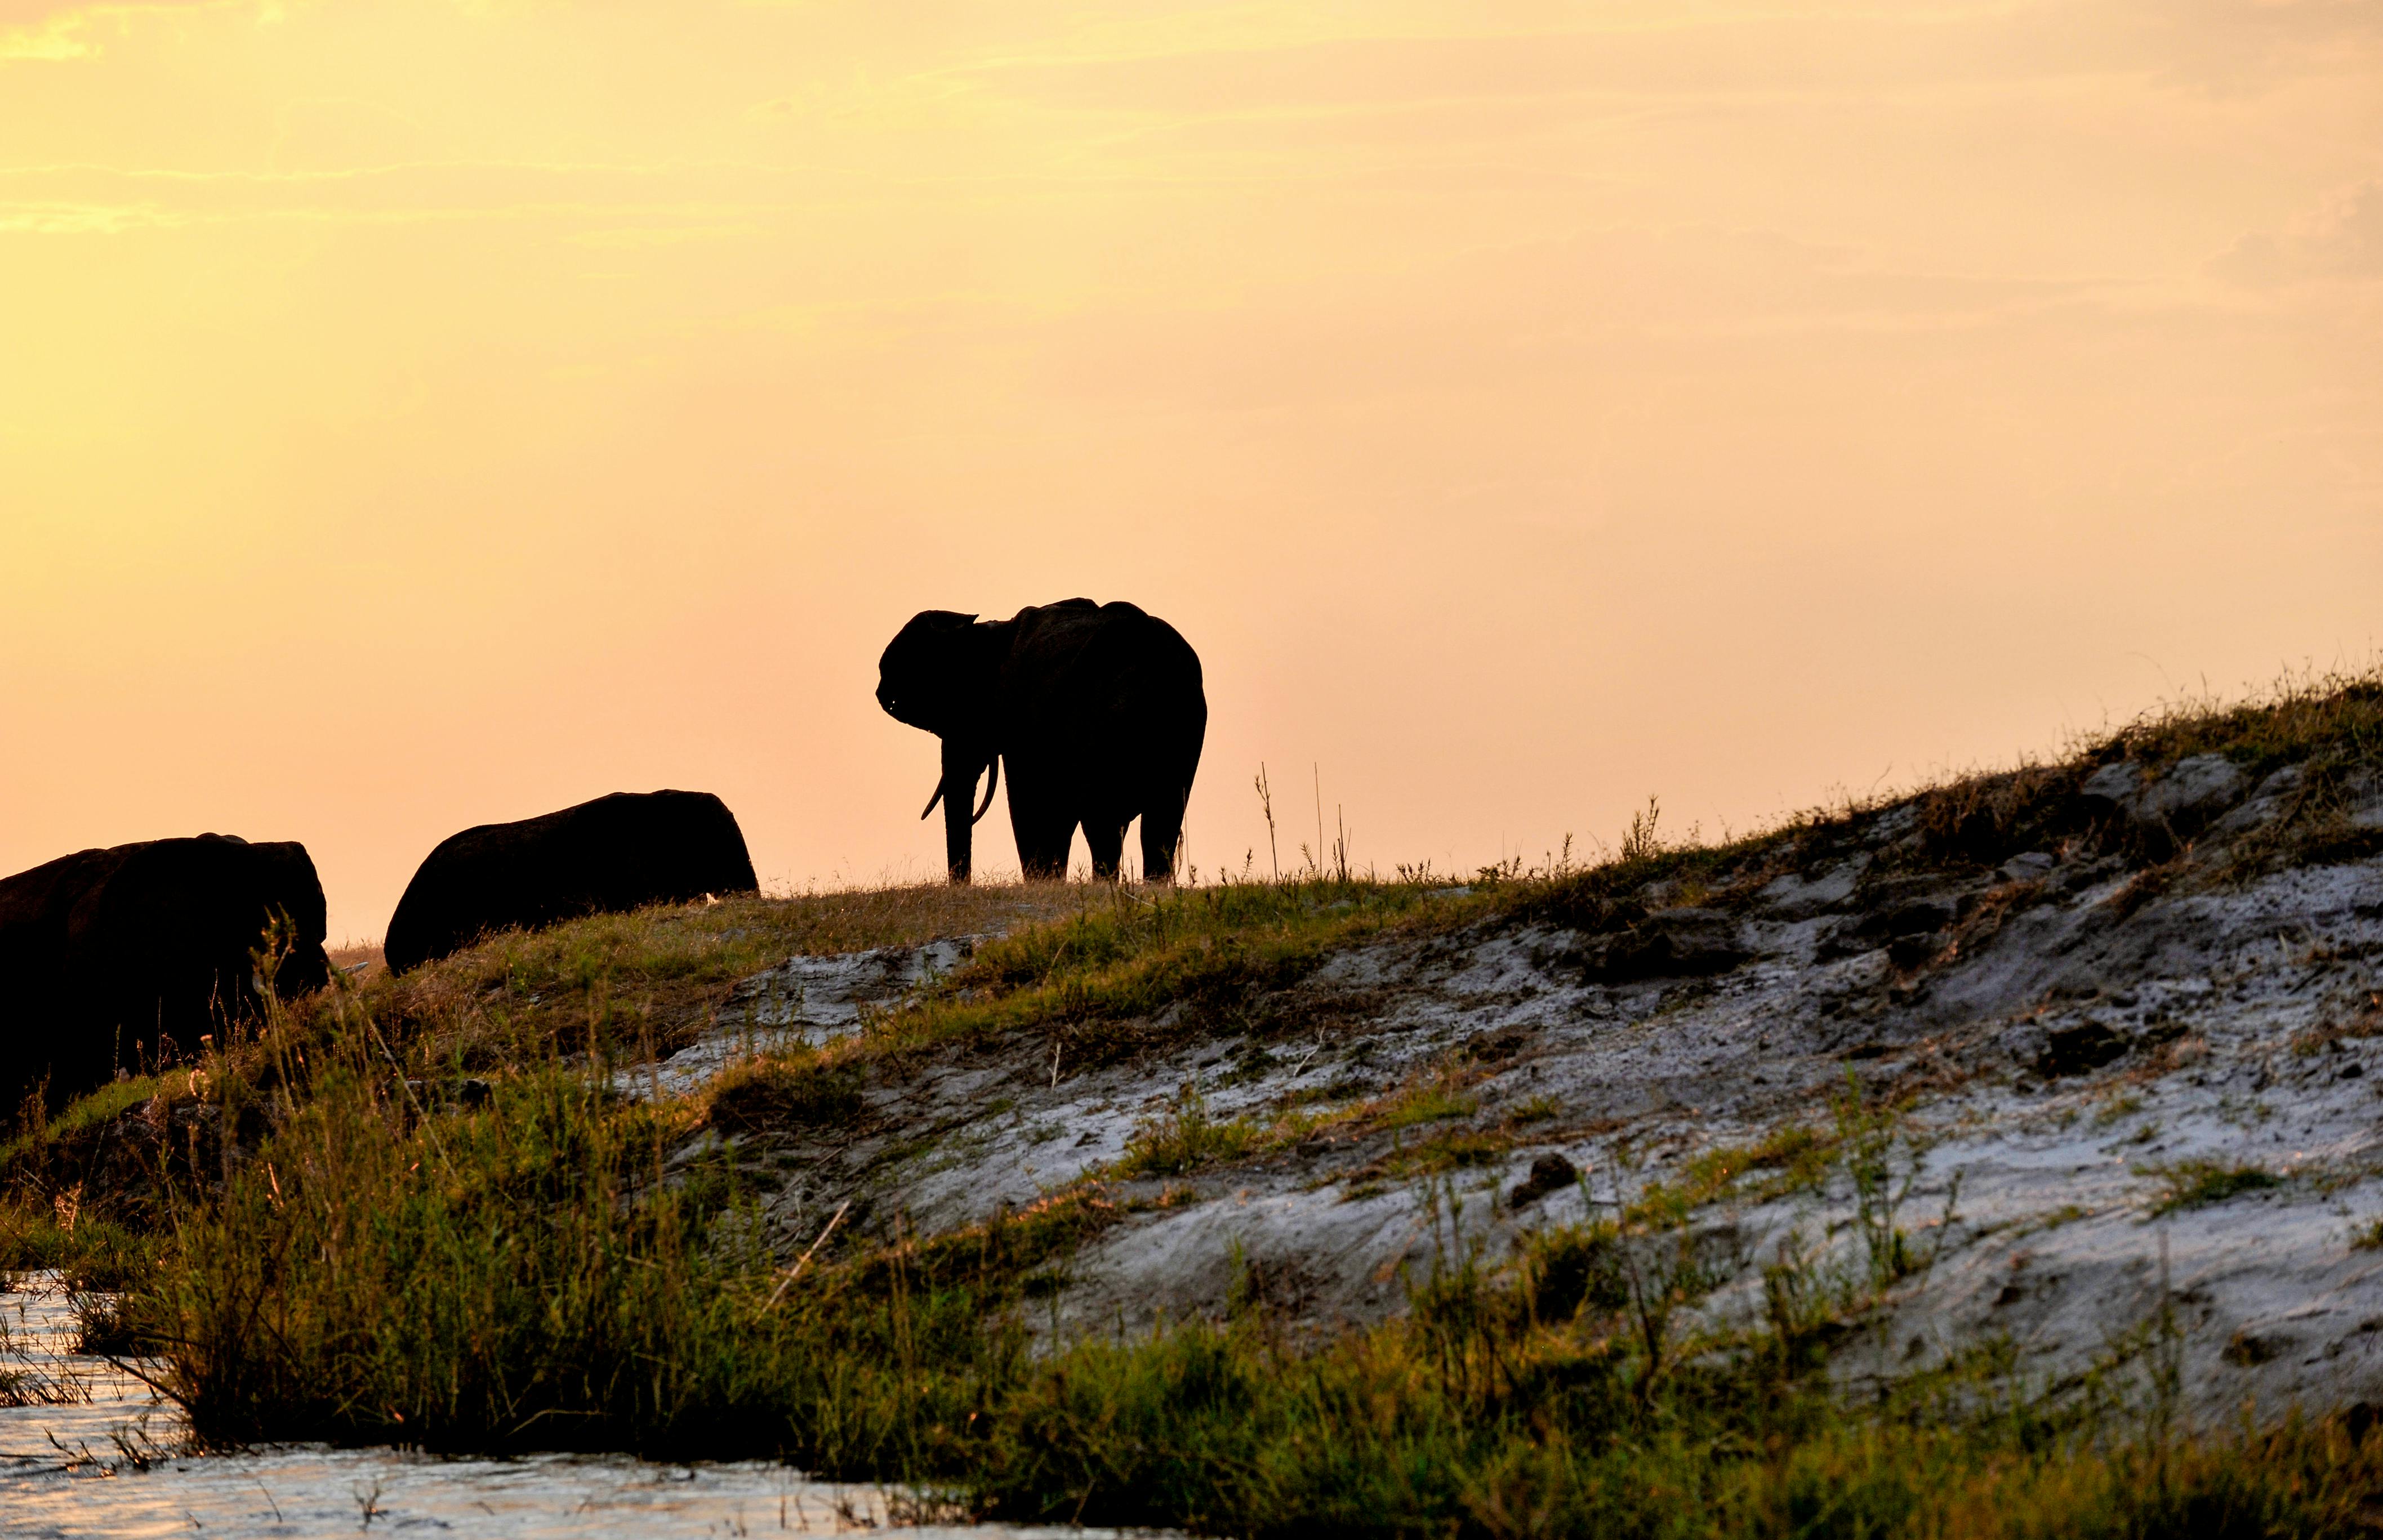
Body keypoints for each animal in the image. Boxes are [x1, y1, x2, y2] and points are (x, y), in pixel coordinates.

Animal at [877, 598, 1206, 883]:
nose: (962, 885)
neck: (990, 633)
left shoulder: (1019, 718)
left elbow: (1029, 802)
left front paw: (1042, 882)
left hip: (1108, 721)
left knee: (1103, 821)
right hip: (1183, 726)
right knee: (1160, 822)